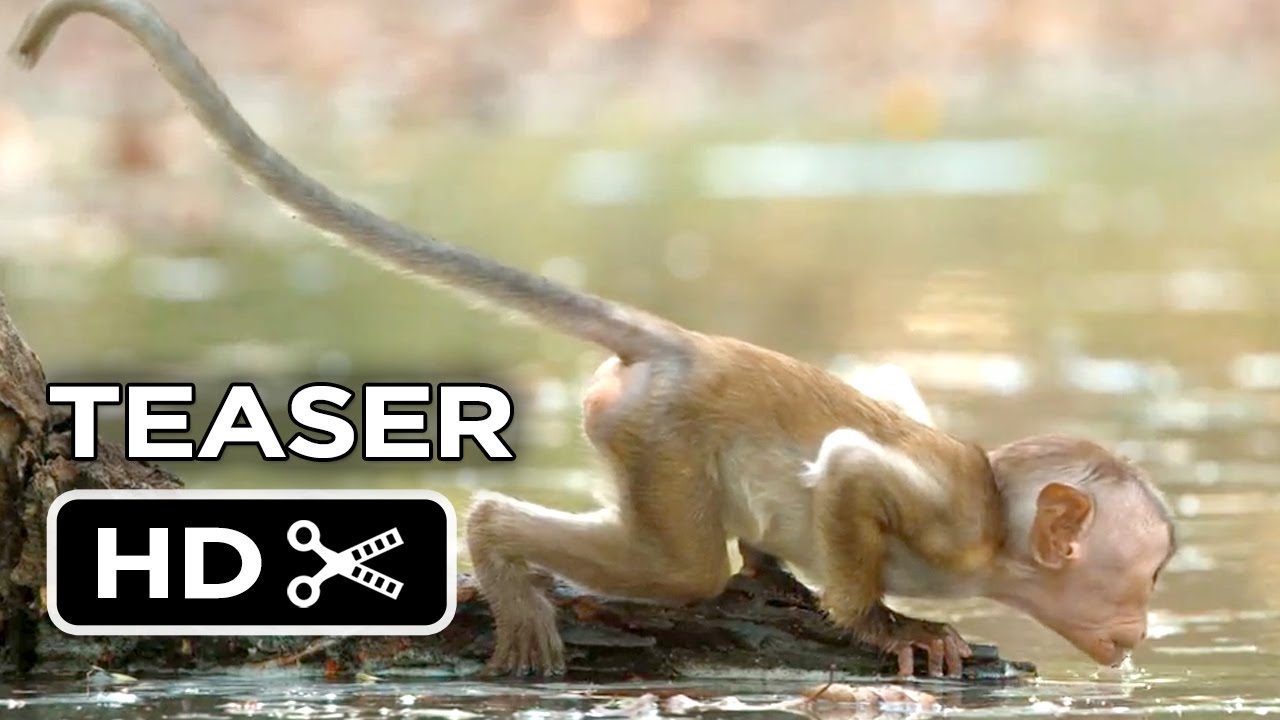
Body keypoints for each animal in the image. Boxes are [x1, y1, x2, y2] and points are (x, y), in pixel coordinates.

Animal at [10, 0, 1177, 679]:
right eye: (1145, 577)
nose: (1139, 631)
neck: (998, 534)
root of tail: (682, 344)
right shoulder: (951, 523)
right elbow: (848, 471)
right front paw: (887, 625)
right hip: (660, 437)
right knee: (679, 567)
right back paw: (499, 547)